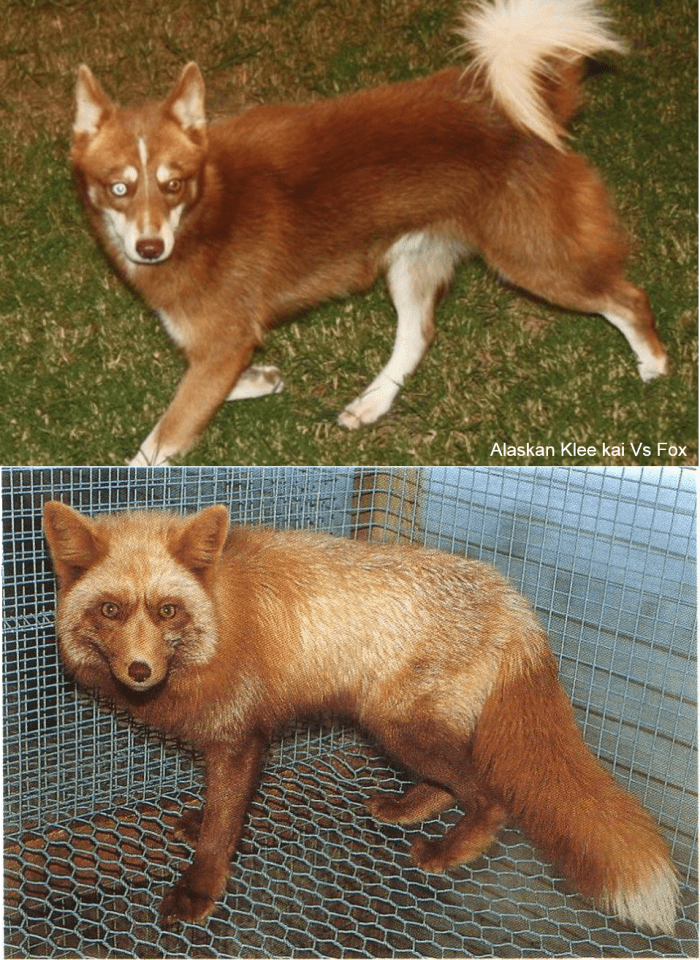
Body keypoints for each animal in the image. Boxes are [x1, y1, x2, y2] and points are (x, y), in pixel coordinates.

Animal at [43, 500, 679, 934]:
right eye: (110, 611)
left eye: (167, 610)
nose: (140, 670)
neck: (220, 624)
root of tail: (516, 602)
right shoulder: (231, 741)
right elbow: (223, 811)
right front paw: (201, 827)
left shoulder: (241, 737)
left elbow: (224, 827)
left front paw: (200, 890)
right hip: (409, 730)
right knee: (455, 783)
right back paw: (409, 807)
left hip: (399, 728)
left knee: (491, 794)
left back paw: (447, 852)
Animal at [69, 0, 667, 465]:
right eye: (118, 188)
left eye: (172, 184)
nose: (150, 248)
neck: (206, 210)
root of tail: (514, 107)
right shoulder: (218, 347)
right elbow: (208, 385)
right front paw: (263, 379)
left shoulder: (220, 343)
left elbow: (159, 439)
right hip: (412, 260)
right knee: (418, 334)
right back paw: (373, 401)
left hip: (535, 261)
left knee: (626, 297)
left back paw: (654, 364)